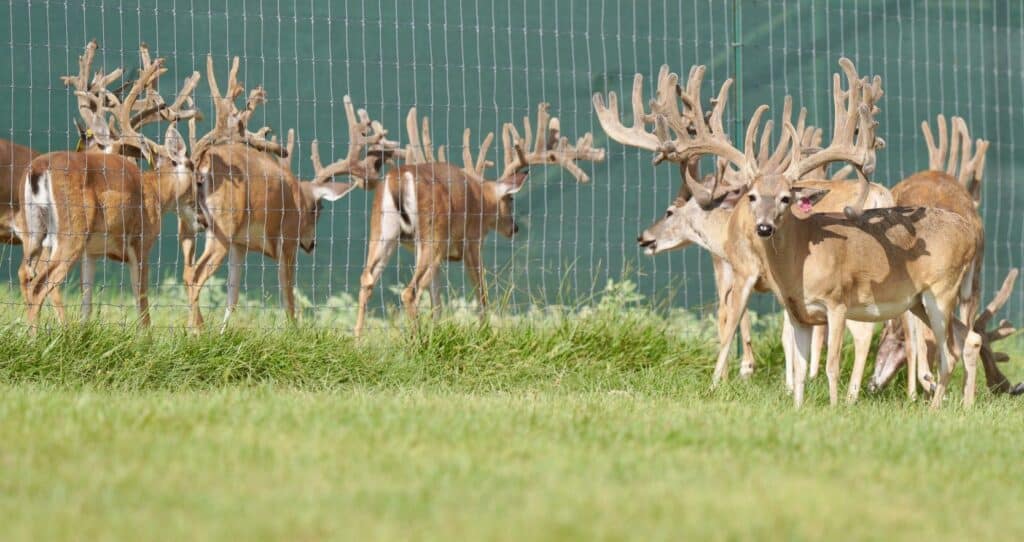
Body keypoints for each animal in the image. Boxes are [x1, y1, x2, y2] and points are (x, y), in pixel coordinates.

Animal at [20, 41, 200, 329]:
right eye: (197, 176)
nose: (201, 215)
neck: (156, 192)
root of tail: (37, 170)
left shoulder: (92, 252)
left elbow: (87, 303)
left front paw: (81, 331)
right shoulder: (140, 240)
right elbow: (142, 303)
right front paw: (146, 336)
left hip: (36, 230)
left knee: (26, 275)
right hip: (71, 231)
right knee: (40, 284)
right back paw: (34, 336)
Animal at [185, 55, 399, 330]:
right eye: (319, 209)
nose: (311, 243)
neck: (298, 197)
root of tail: (202, 164)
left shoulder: (240, 244)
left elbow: (232, 296)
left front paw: (224, 332)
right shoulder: (286, 239)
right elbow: (288, 297)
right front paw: (294, 330)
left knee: (189, 272)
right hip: (223, 222)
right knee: (194, 275)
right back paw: (198, 330)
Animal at [351, 103, 604, 336]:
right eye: (511, 199)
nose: (515, 227)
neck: (481, 198)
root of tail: (399, 179)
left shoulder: (434, 254)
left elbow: (437, 301)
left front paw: (437, 332)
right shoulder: (472, 241)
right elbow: (481, 292)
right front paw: (484, 332)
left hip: (383, 231)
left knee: (367, 279)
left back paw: (358, 340)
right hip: (433, 233)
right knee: (409, 291)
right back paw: (416, 341)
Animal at [595, 61, 892, 401]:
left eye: (669, 211)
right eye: (752, 196)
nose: (644, 237)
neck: (723, 229)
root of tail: (880, 194)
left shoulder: (741, 268)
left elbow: (730, 322)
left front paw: (721, 379)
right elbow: (785, 331)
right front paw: (785, 383)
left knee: (864, 328)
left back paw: (852, 394)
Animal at [640, 58, 980, 409]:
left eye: (785, 198)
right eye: (752, 196)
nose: (763, 227)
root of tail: (970, 232)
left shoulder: (835, 302)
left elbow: (828, 363)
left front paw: (831, 406)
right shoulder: (798, 313)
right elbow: (800, 366)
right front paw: (797, 405)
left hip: (940, 290)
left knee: (947, 353)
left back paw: (930, 406)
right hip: (917, 301)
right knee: (970, 338)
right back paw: (964, 405)